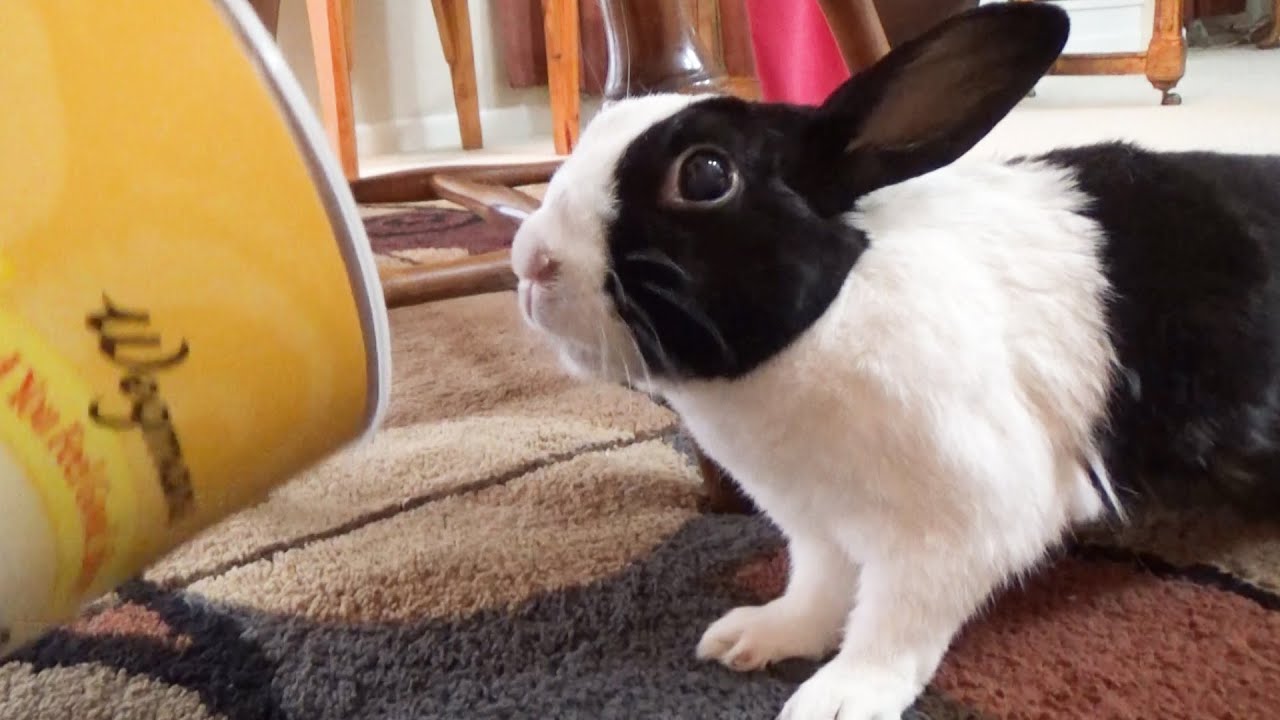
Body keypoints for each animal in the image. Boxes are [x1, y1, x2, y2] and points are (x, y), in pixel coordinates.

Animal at [509, 2, 1280, 718]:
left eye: (704, 175)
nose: (530, 261)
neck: (823, 322)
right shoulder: (814, 529)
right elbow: (816, 591)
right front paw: (754, 638)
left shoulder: (952, 527)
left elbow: (894, 622)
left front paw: (838, 698)